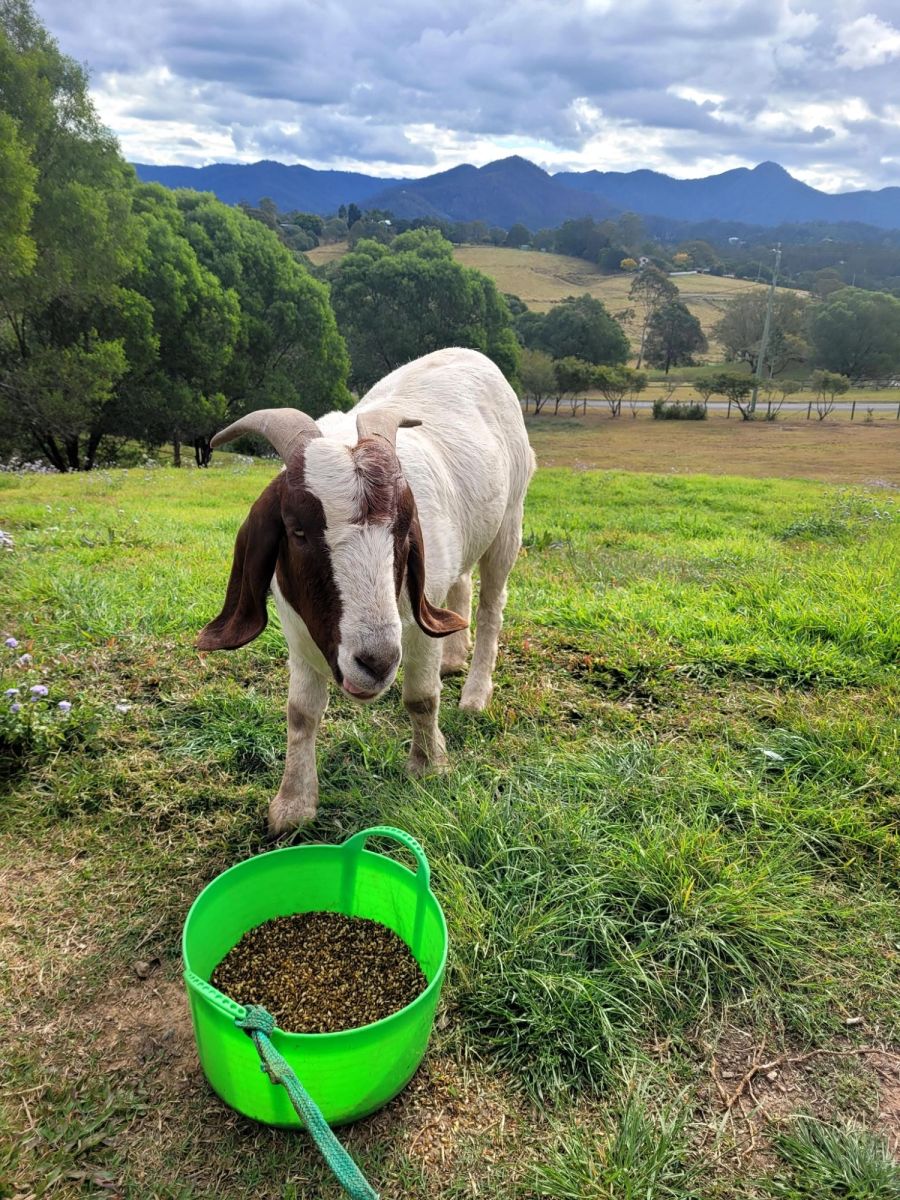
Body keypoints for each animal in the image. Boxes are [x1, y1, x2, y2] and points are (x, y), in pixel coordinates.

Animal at [197, 347, 536, 833]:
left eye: (402, 529)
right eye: (297, 531)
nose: (375, 663)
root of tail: (470, 354)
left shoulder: (415, 621)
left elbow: (421, 697)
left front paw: (429, 766)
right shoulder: (299, 632)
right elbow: (301, 712)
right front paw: (292, 805)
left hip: (509, 524)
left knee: (492, 606)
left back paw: (474, 694)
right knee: (461, 585)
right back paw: (453, 658)